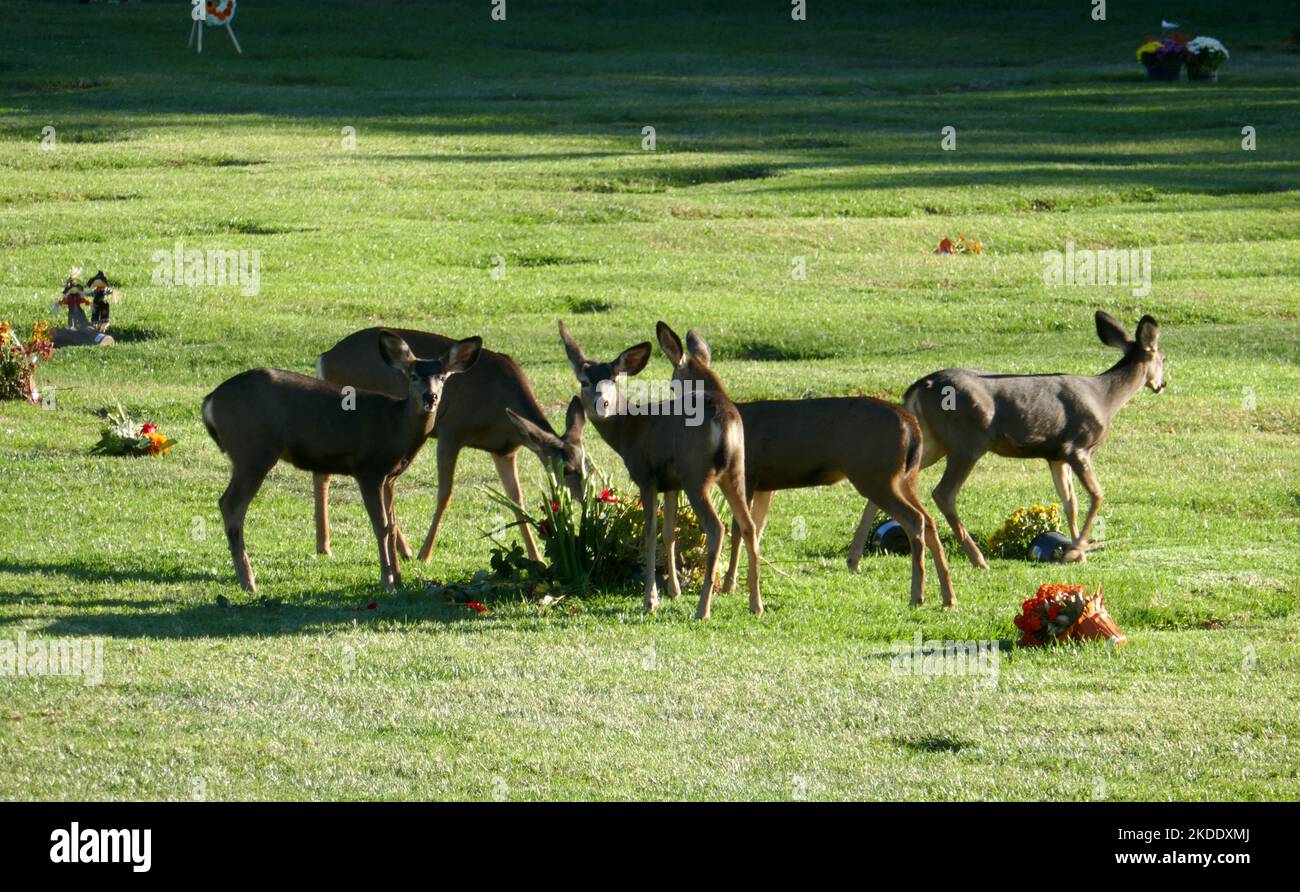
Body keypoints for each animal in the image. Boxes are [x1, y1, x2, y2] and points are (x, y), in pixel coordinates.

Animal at [202, 331, 482, 593]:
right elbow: (380, 526)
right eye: (413, 376)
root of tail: (210, 400)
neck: (397, 428)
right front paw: (387, 582)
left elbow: (392, 526)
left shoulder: (390, 477)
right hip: (254, 452)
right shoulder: (368, 468)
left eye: (443, 377)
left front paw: (400, 579)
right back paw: (249, 582)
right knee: (231, 505)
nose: (430, 397)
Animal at [312, 327, 573, 566]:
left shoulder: (503, 451)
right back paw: (333, 548)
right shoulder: (451, 431)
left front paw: (536, 557)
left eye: (582, 465)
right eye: (567, 469)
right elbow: (445, 493)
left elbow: (516, 499)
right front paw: (424, 554)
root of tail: (324, 358)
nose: (575, 500)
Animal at [557, 320, 760, 620]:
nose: (601, 404)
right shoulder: (671, 482)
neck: (629, 432)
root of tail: (725, 418)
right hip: (735, 470)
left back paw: (703, 609)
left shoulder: (646, 475)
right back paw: (756, 604)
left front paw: (651, 600)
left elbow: (650, 533)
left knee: (717, 528)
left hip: (696, 474)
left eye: (614, 379)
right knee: (748, 525)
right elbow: (669, 531)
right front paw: (674, 591)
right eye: (585, 381)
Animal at [903, 310, 1166, 568]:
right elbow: (1097, 495)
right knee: (943, 493)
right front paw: (1075, 551)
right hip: (967, 441)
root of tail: (918, 387)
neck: (1105, 398)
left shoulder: (1056, 456)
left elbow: (1070, 503)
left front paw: (1077, 554)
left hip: (934, 442)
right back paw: (978, 559)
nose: (1162, 384)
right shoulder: (1077, 447)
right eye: (1163, 359)